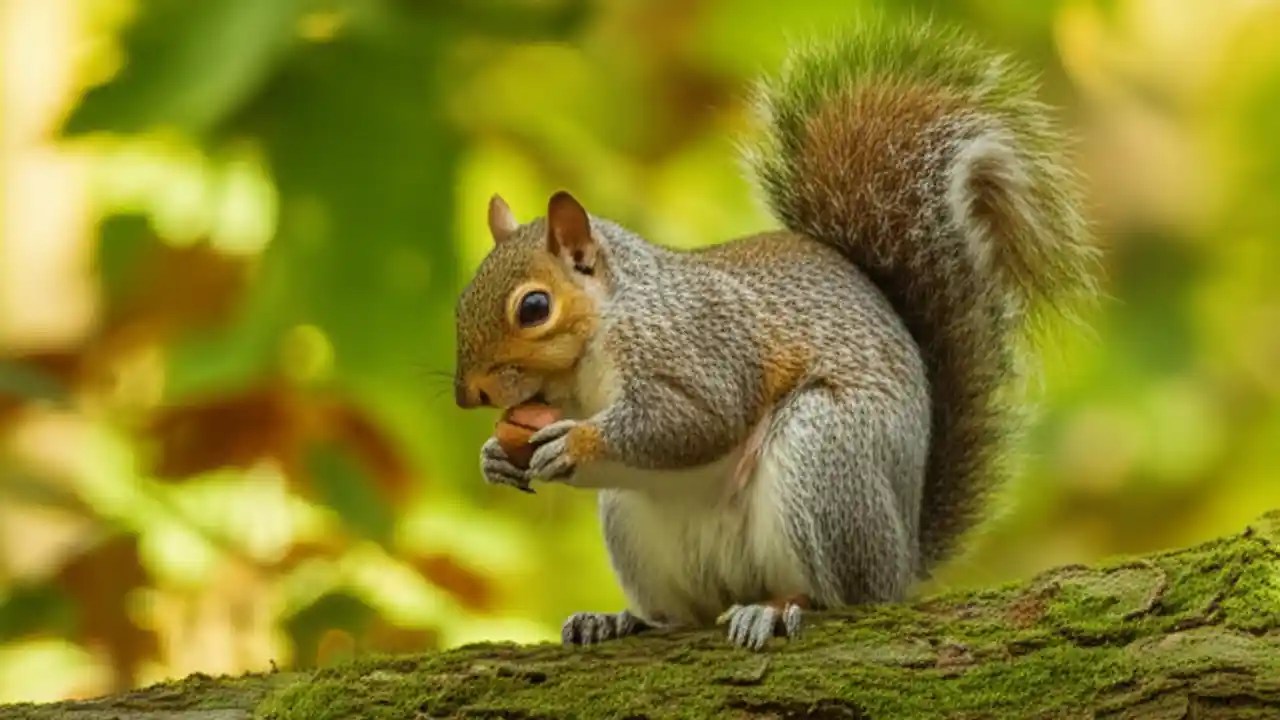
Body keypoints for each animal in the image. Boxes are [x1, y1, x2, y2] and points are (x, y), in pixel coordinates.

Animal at [453, 19, 1096, 651]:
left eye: (534, 307)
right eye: (461, 302)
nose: (469, 395)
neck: (591, 355)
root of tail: (901, 561)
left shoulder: (699, 342)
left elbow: (702, 418)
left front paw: (578, 443)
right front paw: (494, 456)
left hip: (825, 456)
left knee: (836, 594)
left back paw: (777, 609)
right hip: (635, 527)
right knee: (681, 613)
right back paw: (621, 621)